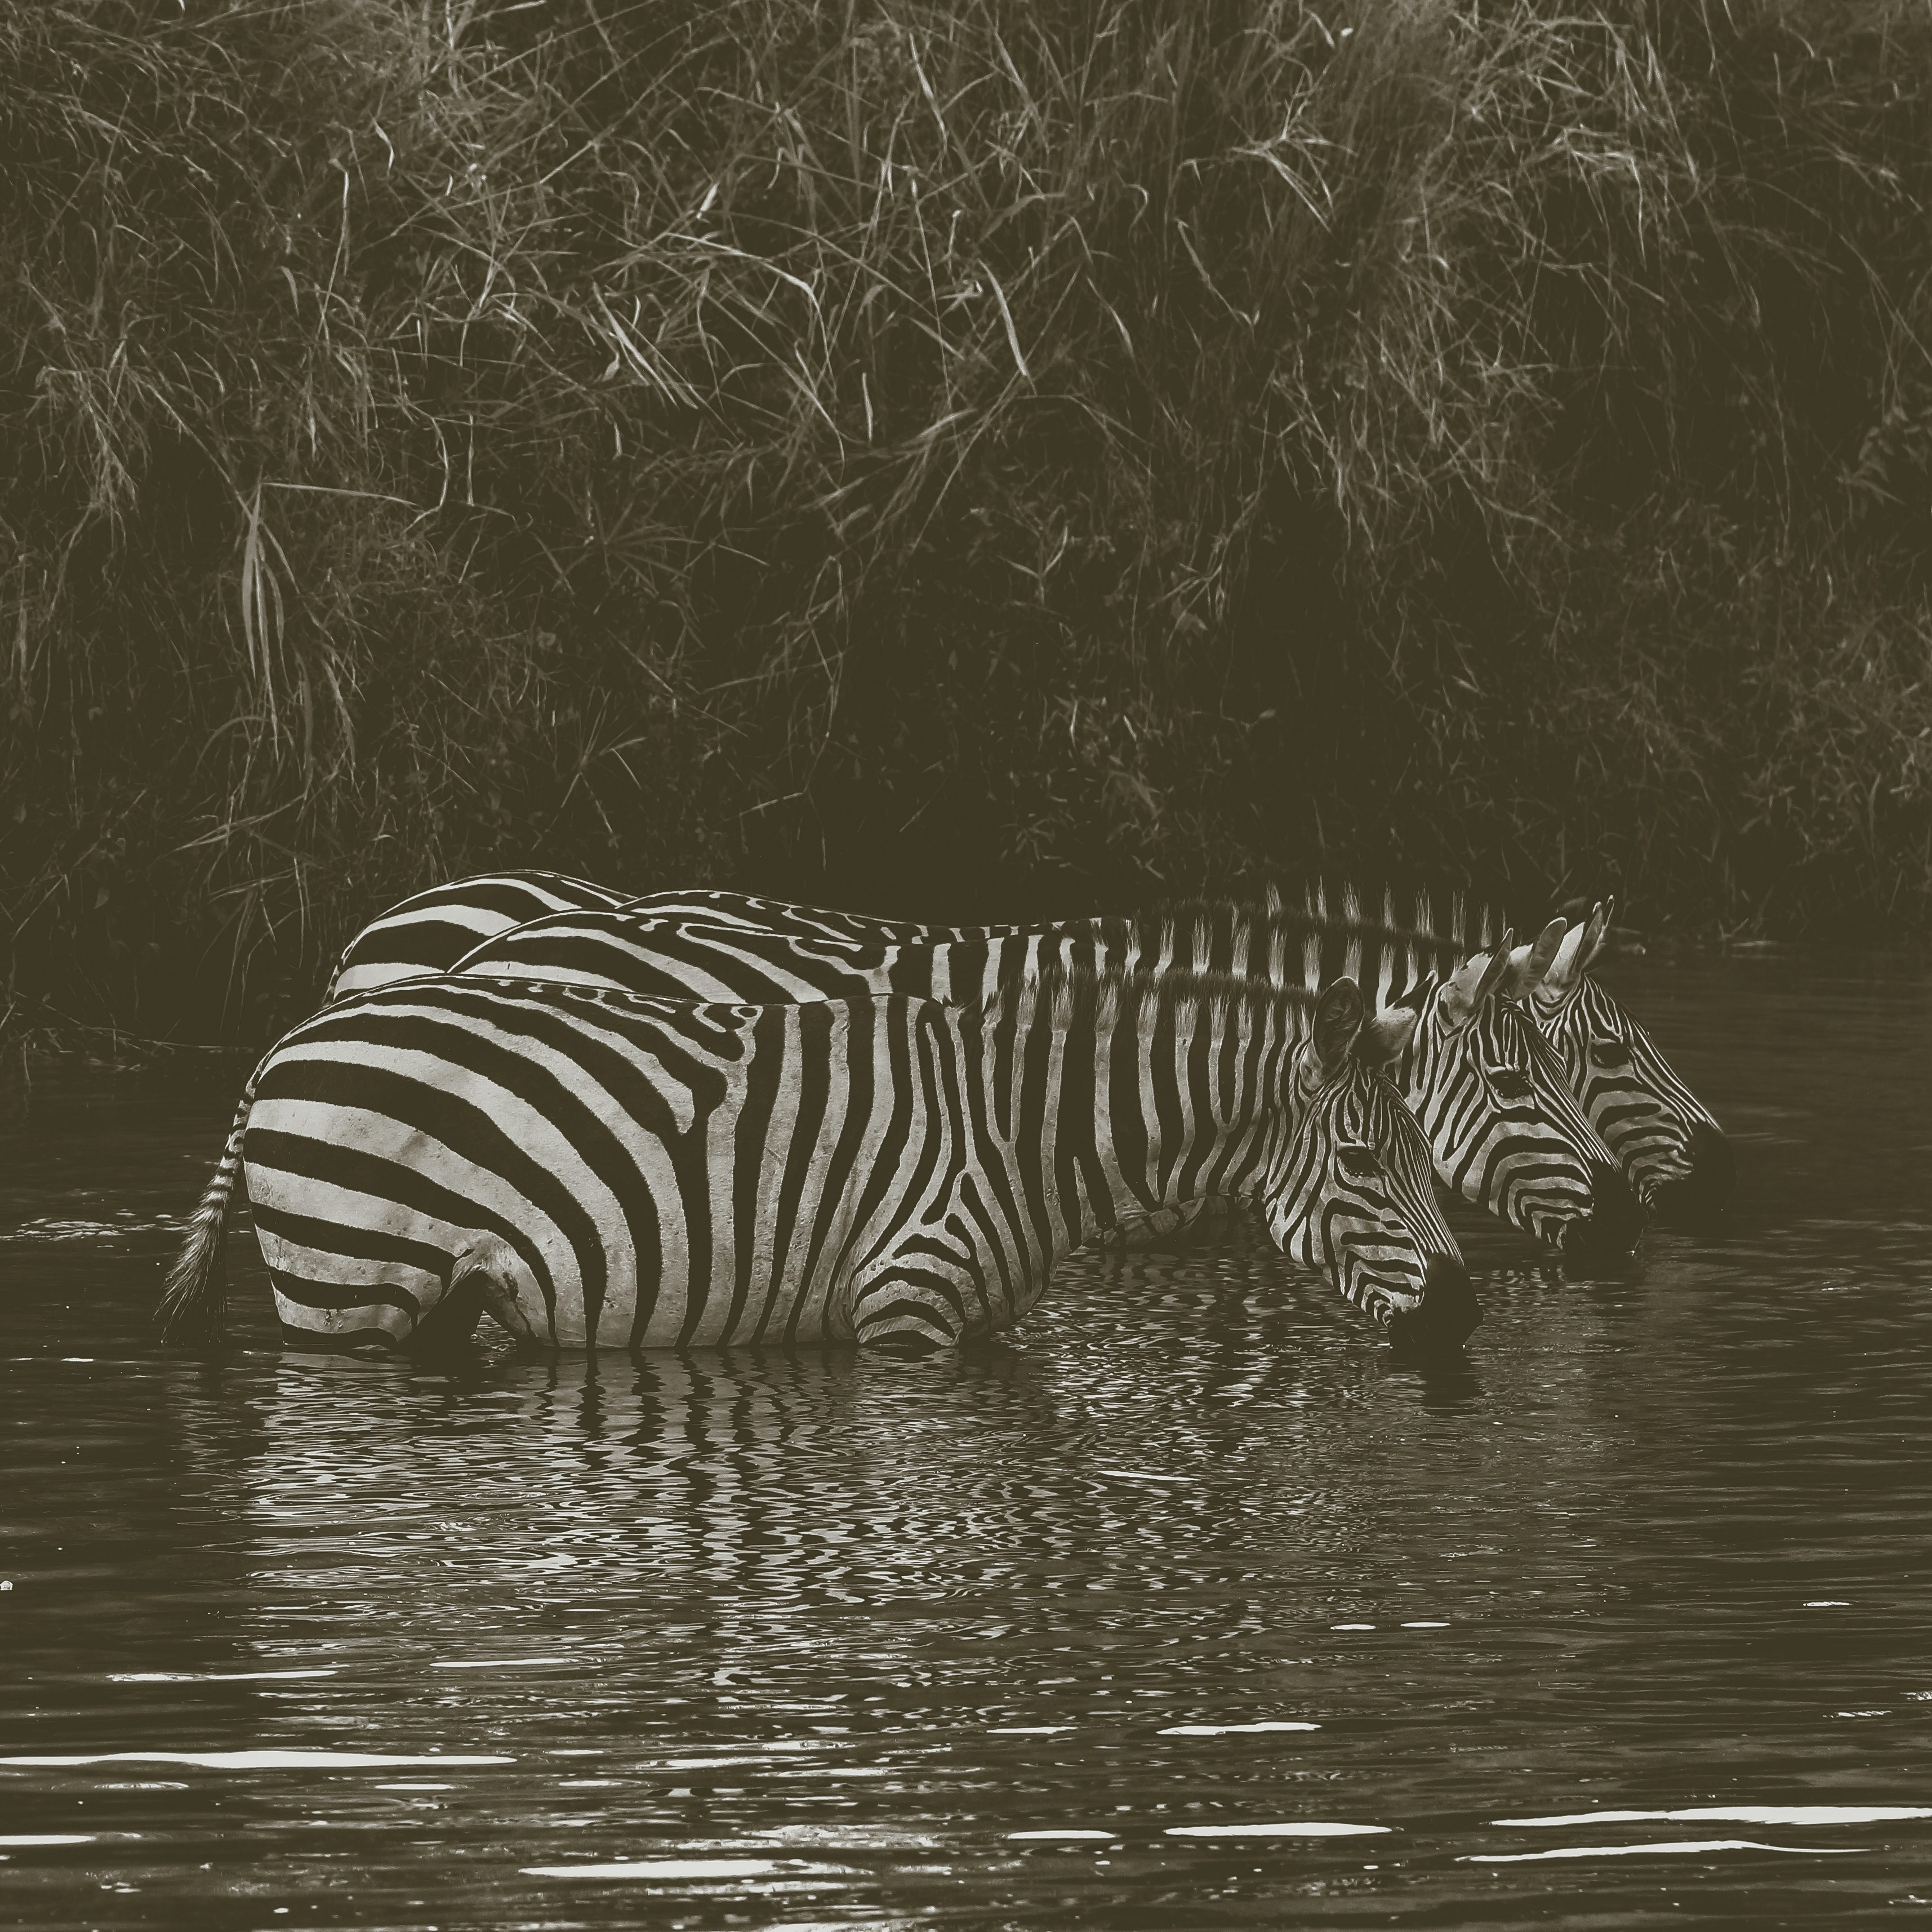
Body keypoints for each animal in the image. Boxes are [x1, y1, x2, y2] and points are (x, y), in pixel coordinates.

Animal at [157, 965, 1473, 1359]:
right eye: (1364, 1158)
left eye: (1427, 1153)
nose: (1462, 1307)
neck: (1025, 1132)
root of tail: (288, 1038)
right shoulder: (908, 1312)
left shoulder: (975, 1327)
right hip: (348, 1290)